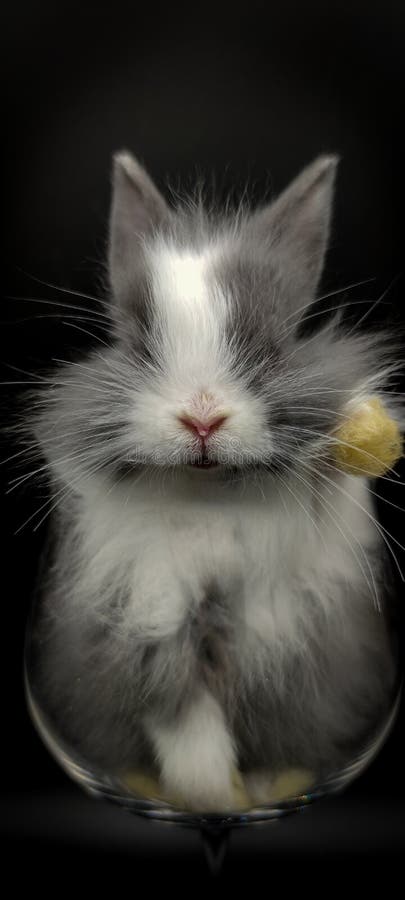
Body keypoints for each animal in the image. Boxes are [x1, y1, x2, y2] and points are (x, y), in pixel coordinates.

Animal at [25, 151, 401, 812]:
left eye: (269, 349)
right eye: (141, 345)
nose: (202, 418)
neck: (209, 493)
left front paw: (370, 435)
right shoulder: (154, 630)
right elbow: (191, 736)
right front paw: (211, 799)